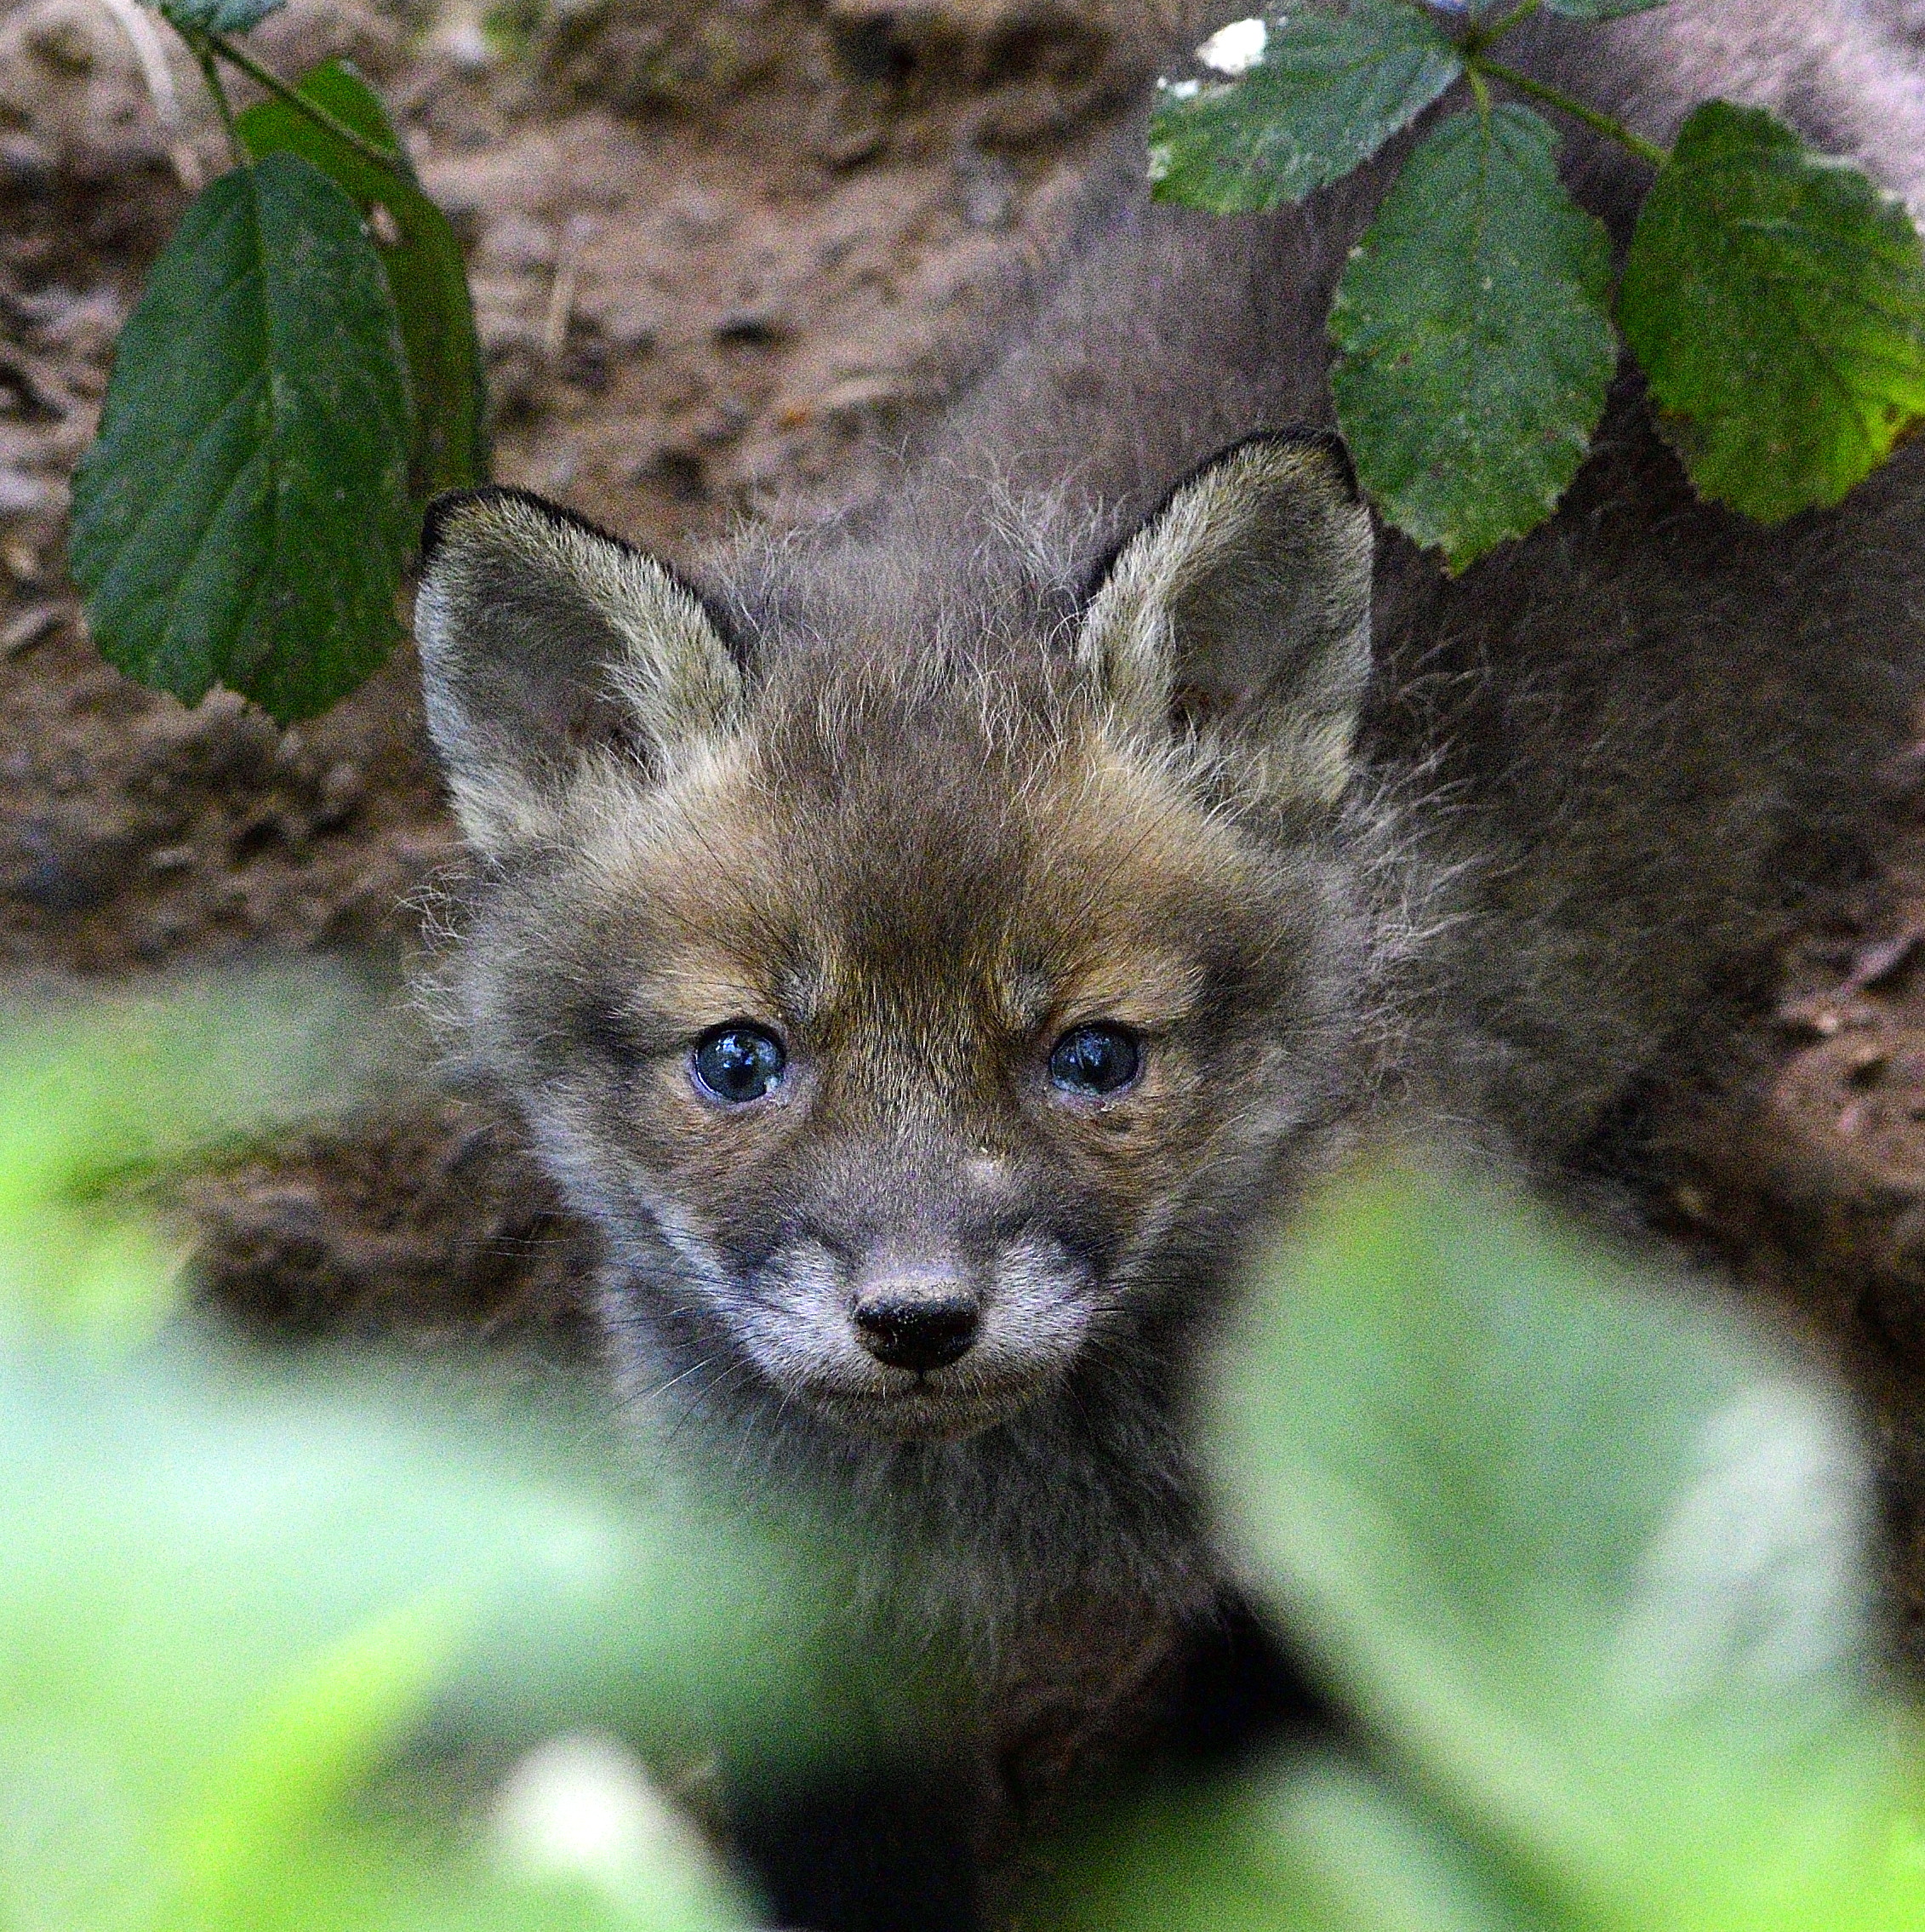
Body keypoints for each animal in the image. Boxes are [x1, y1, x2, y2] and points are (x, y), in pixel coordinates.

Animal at [411, 3, 1925, 1925]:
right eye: (741, 1060)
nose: (919, 1321)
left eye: (1095, 1059)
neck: (1017, 1500)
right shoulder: (786, 1598)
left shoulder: (1358, 1518)